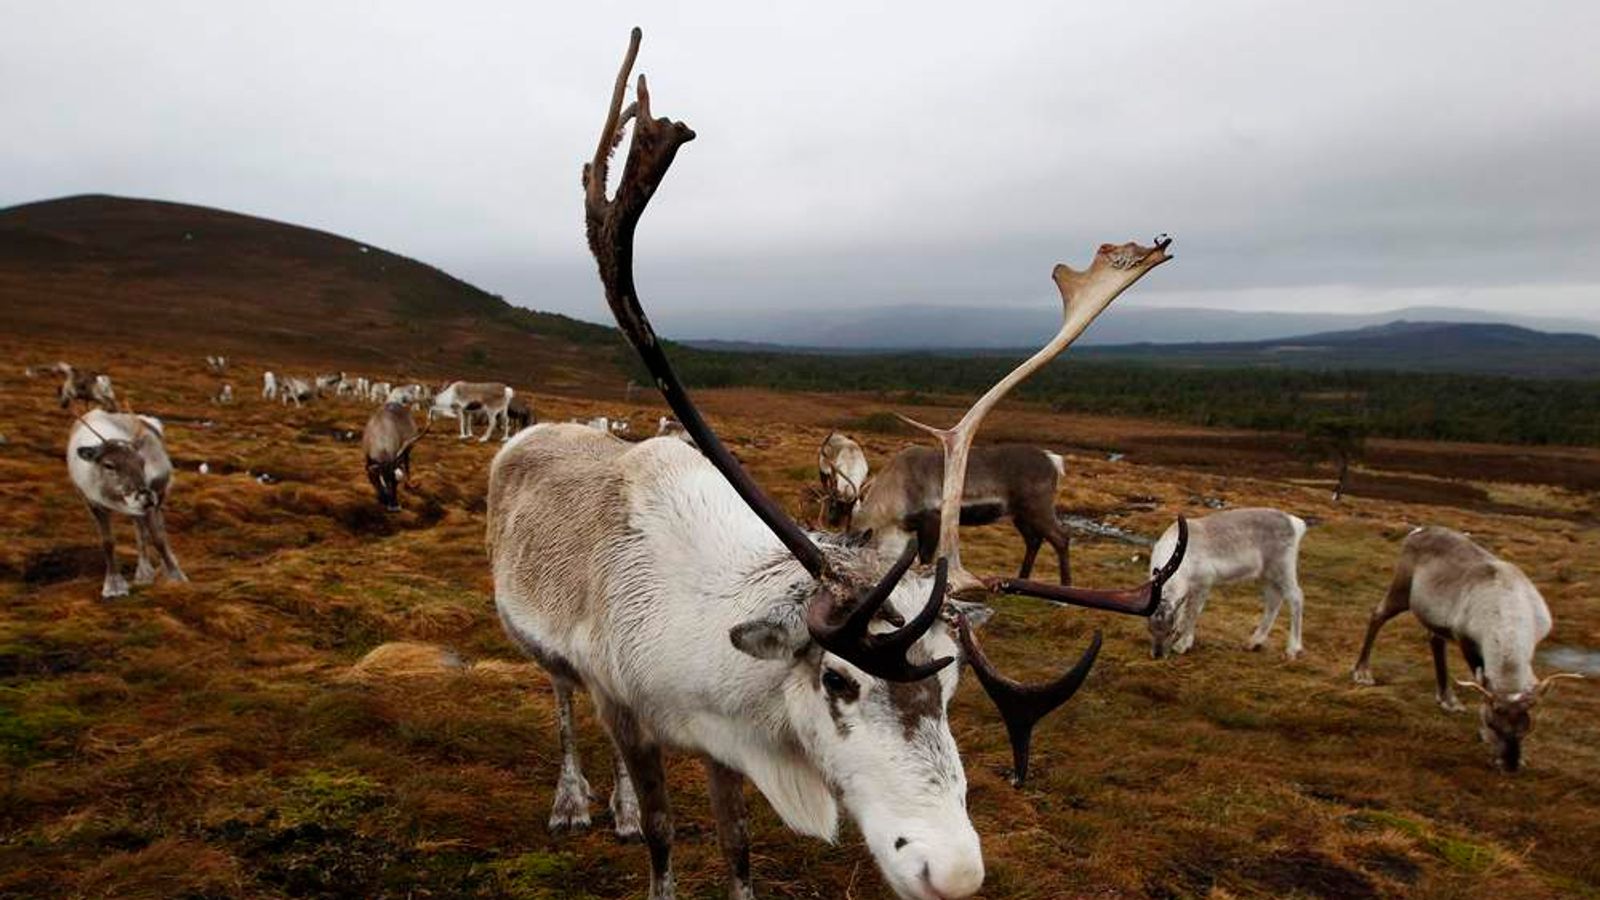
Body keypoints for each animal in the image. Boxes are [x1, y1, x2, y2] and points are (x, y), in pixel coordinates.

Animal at [67, 410, 186, 598]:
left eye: (141, 462)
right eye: (109, 465)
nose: (145, 496)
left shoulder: (152, 498)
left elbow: (158, 538)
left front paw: (177, 577)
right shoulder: (94, 504)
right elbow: (108, 542)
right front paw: (113, 586)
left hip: (157, 497)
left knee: (155, 530)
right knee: (140, 532)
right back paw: (144, 574)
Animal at [853, 444, 1075, 585]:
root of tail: (1053, 460)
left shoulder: (933, 519)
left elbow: (926, 557)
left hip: (1038, 508)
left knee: (1061, 537)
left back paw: (1064, 589)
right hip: (1020, 515)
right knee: (1034, 540)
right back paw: (1022, 580)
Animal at [1144, 508, 1308, 660]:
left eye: (1170, 630)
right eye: (1149, 628)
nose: (1158, 655)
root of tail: (1296, 523)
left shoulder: (1204, 581)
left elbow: (1193, 612)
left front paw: (1182, 645)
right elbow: (1184, 610)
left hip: (1283, 567)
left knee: (1296, 597)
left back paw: (1292, 650)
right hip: (1266, 575)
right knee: (1274, 600)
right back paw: (1253, 643)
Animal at [1352, 526, 1582, 771]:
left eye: (1527, 727)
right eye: (1492, 724)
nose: (1509, 766)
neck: (1508, 614)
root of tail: (1417, 530)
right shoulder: (1466, 640)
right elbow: (1479, 682)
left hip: (1435, 617)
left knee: (1434, 639)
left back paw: (1448, 699)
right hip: (1402, 588)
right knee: (1377, 614)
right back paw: (1362, 672)